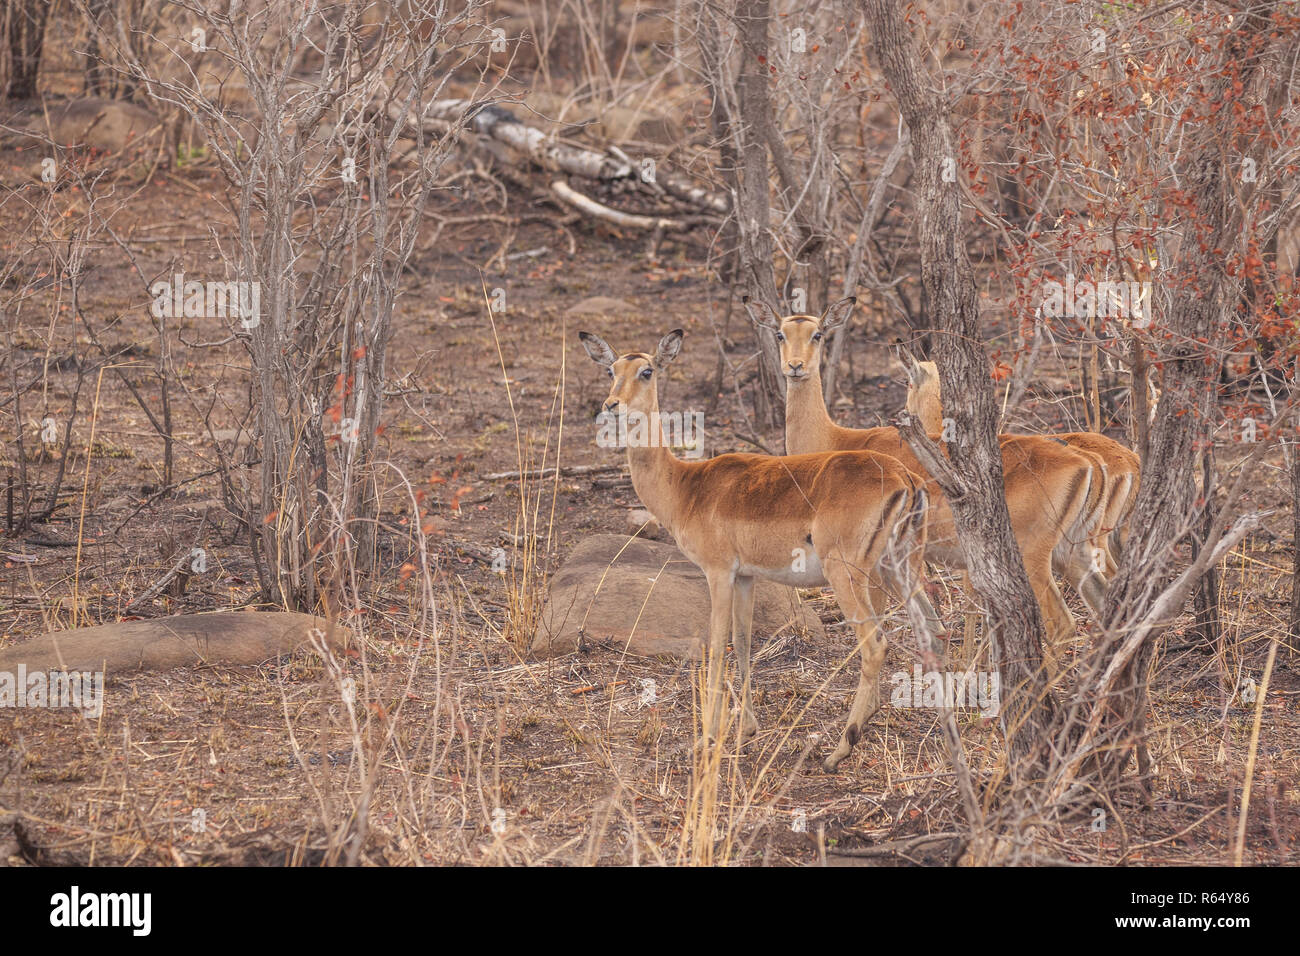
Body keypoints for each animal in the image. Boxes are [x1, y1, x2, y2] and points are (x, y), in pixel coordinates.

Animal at [579, 328, 947, 772]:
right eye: (611, 370)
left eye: (647, 370)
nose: (611, 405)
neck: (687, 487)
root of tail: (904, 478)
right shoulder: (746, 577)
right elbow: (743, 642)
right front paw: (747, 728)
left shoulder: (718, 572)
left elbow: (716, 647)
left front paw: (706, 739)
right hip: (898, 569)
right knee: (936, 630)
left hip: (847, 574)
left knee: (875, 644)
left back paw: (838, 750)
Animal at [745, 297, 1107, 669]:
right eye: (780, 333)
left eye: (817, 333)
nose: (795, 366)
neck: (836, 440)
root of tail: (1085, 462)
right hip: (1071, 553)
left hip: (1035, 558)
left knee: (1062, 624)